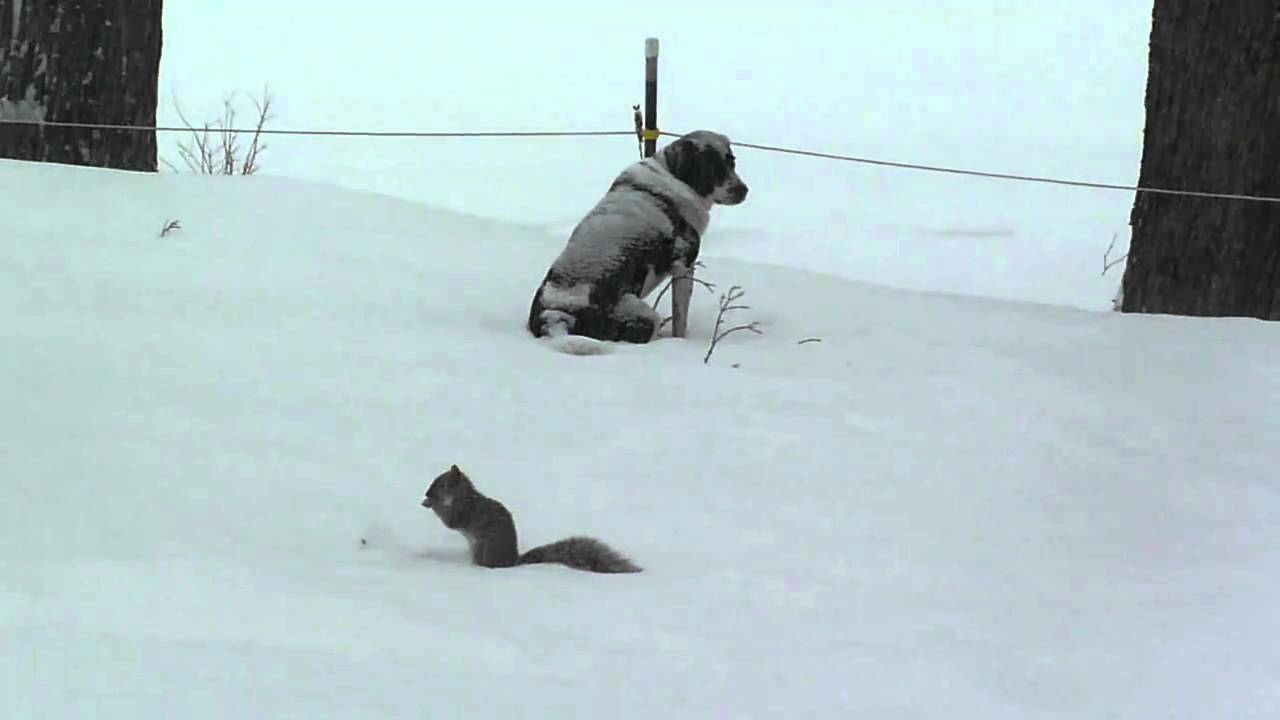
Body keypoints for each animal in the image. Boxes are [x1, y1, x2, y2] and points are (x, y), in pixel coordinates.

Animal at [420, 464, 642, 574]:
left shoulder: (465, 512)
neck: (464, 497)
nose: (427, 493)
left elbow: (450, 521)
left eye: (442, 484)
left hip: (485, 549)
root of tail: (512, 562)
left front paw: (431, 503)